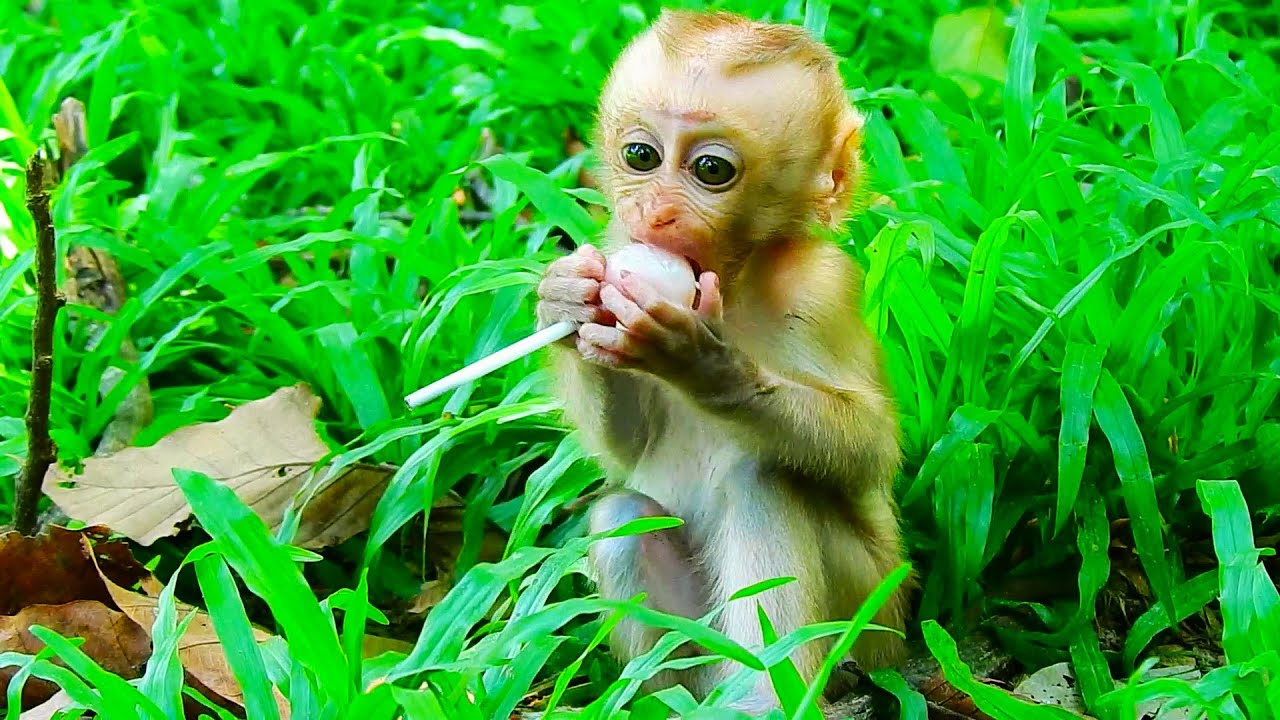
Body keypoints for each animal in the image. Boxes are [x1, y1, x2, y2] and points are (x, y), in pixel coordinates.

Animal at [534, 9, 913, 714]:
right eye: (641, 156)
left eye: (711, 169)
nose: (654, 212)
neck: (732, 283)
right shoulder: (618, 240)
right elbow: (629, 451)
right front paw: (565, 300)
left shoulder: (821, 290)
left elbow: (871, 447)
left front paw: (707, 366)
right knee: (623, 518)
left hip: (873, 619)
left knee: (763, 477)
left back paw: (766, 700)